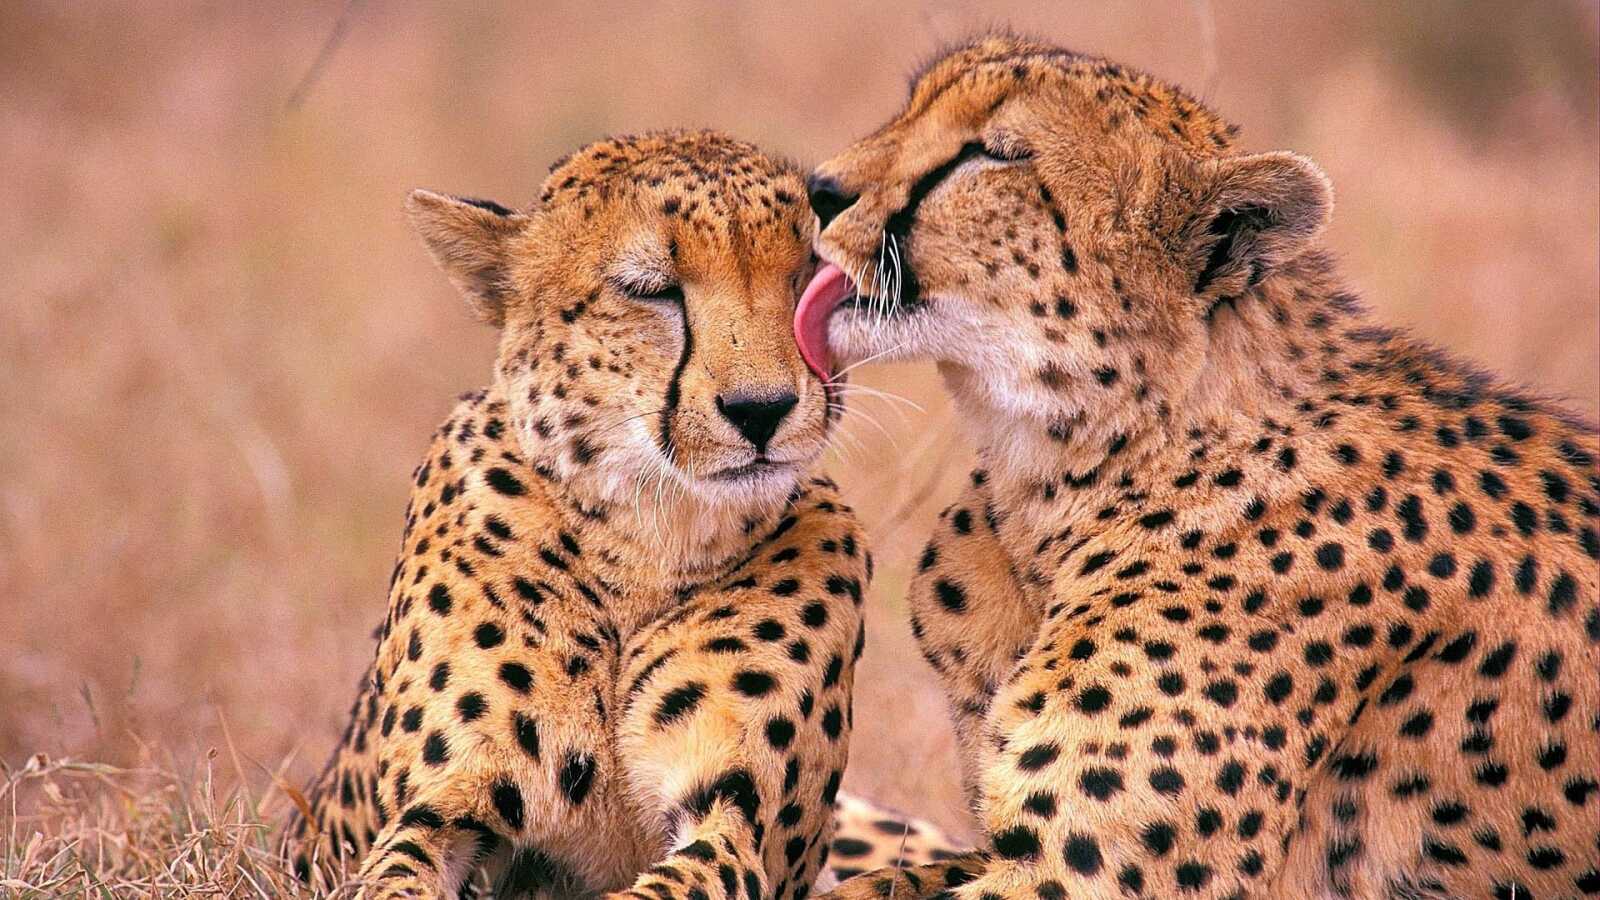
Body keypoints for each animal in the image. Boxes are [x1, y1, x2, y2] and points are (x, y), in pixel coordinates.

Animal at [282, 129, 884, 900]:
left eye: (809, 278)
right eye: (650, 289)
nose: (762, 409)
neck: (650, 538)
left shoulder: (738, 825)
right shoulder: (442, 806)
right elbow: (396, 877)